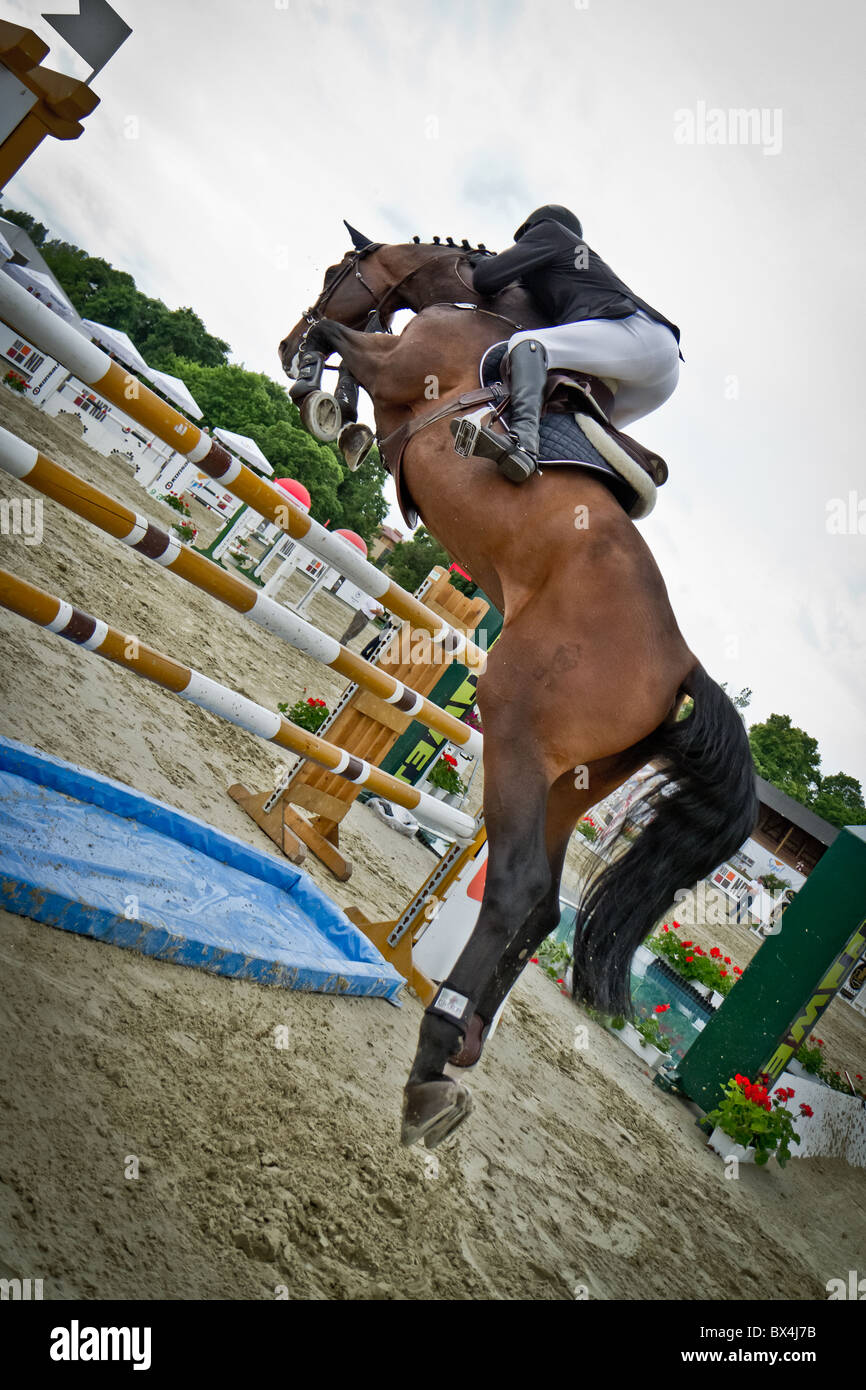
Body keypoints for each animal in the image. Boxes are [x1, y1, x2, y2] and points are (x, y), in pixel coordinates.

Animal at [278, 229, 758, 1148]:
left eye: (332, 270)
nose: (281, 347)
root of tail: (681, 668)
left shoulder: (398, 362)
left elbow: (345, 339)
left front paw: (318, 388)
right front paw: (332, 408)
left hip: (514, 734)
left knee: (518, 888)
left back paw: (432, 1064)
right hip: (573, 782)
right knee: (540, 912)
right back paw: (465, 1040)